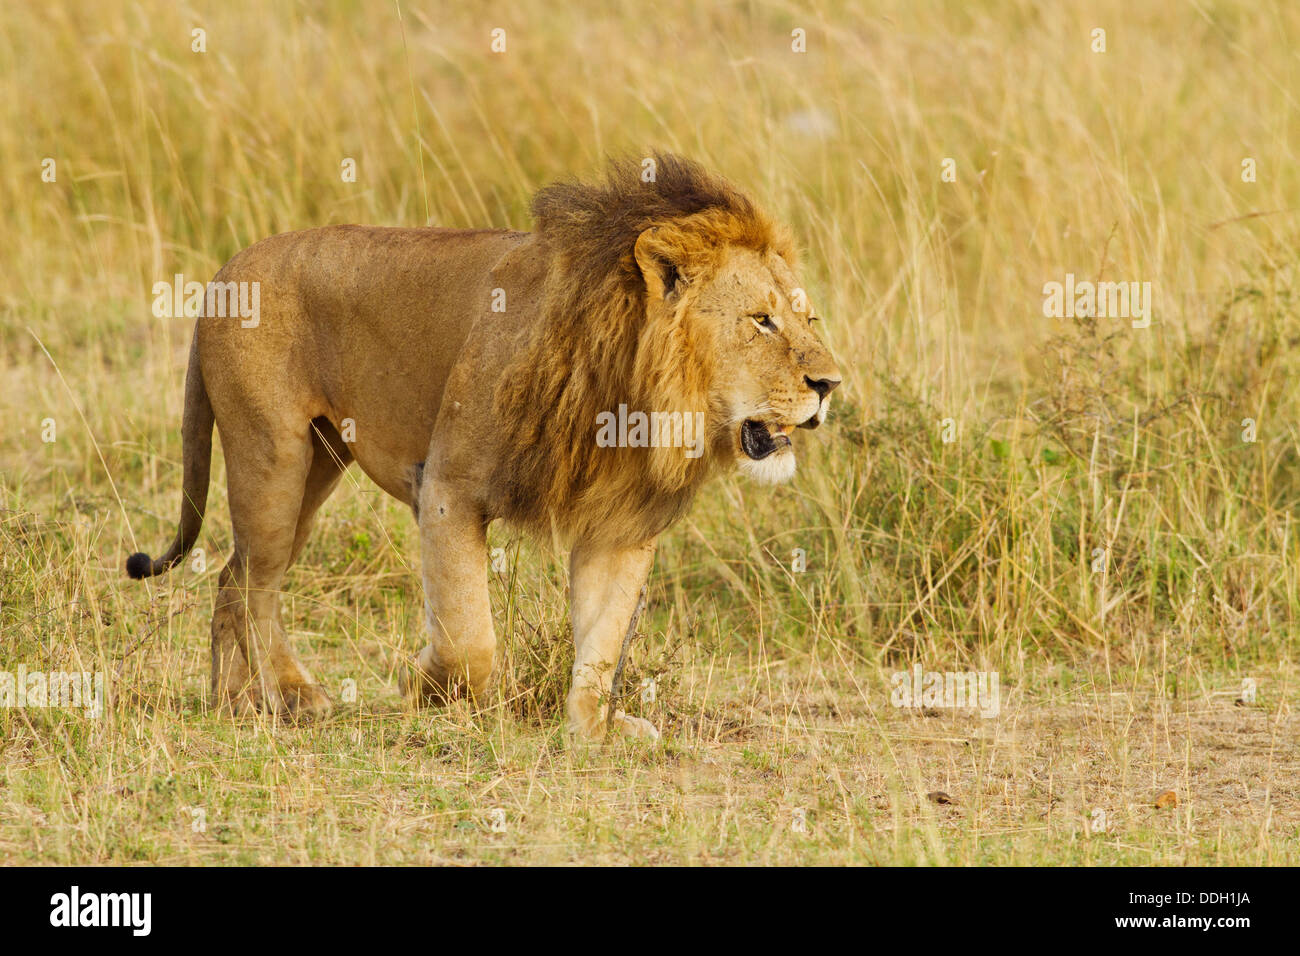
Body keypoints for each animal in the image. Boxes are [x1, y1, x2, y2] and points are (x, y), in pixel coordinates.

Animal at [125, 153, 841, 740]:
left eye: (808, 318)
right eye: (761, 320)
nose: (831, 383)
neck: (636, 396)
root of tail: (225, 271)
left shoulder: (619, 526)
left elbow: (602, 640)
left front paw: (594, 729)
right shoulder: (447, 486)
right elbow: (470, 636)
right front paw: (425, 687)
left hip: (318, 467)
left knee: (236, 576)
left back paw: (249, 699)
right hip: (273, 458)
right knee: (253, 581)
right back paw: (278, 697)